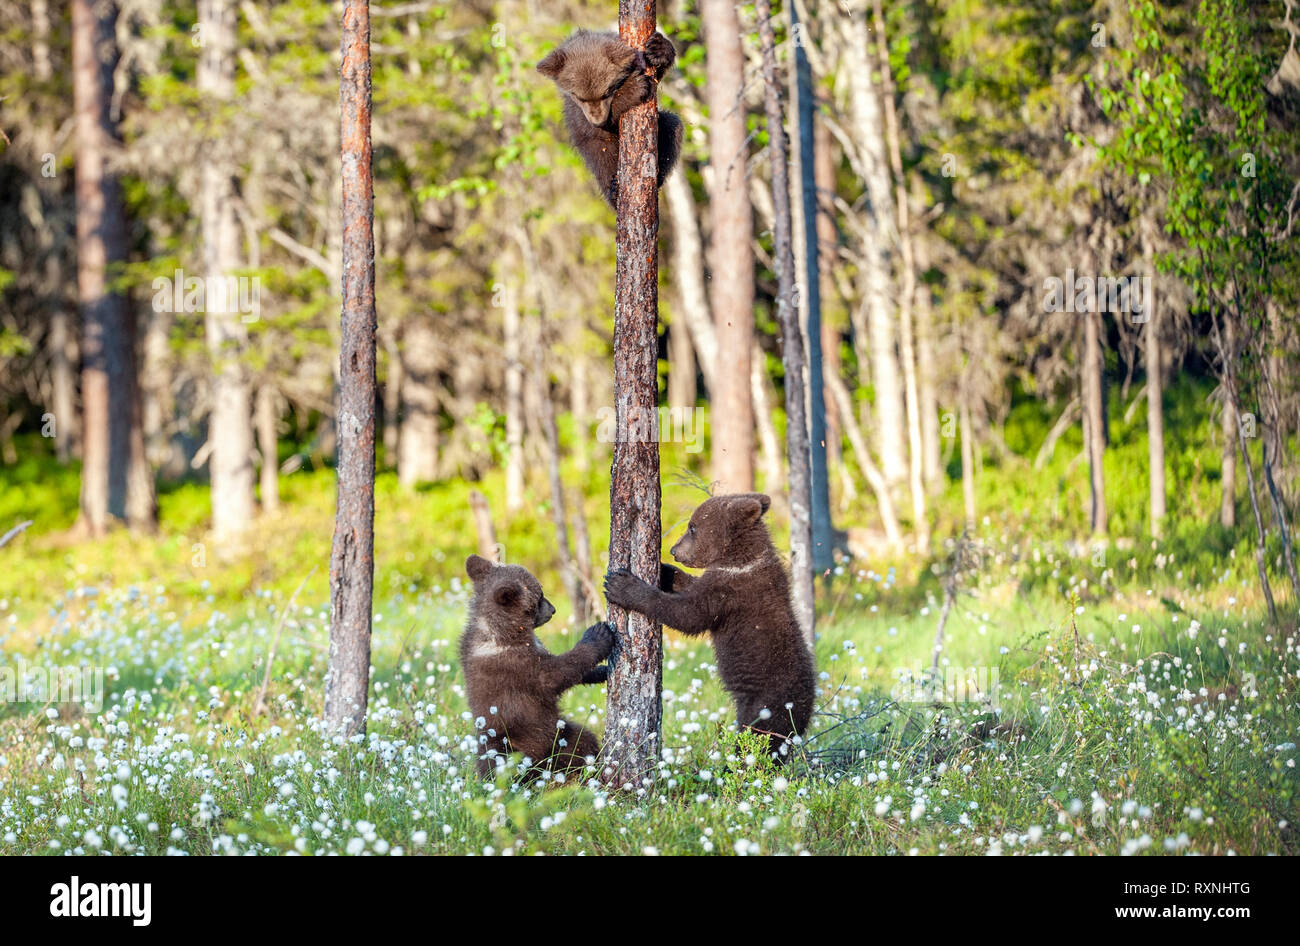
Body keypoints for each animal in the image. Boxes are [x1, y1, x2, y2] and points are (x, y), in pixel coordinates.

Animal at [461, 554, 615, 780]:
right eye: (539, 596)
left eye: (541, 590)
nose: (553, 609)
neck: (504, 632)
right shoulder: (517, 665)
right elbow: (556, 673)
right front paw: (598, 634)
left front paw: (600, 672)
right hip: (511, 740)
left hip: (559, 734)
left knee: (580, 740)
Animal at [603, 493, 816, 762]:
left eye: (692, 527)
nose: (673, 550)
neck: (739, 559)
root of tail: (808, 703)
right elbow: (691, 587)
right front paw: (665, 571)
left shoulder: (729, 594)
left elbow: (687, 614)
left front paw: (622, 585)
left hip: (766, 705)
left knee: (758, 743)